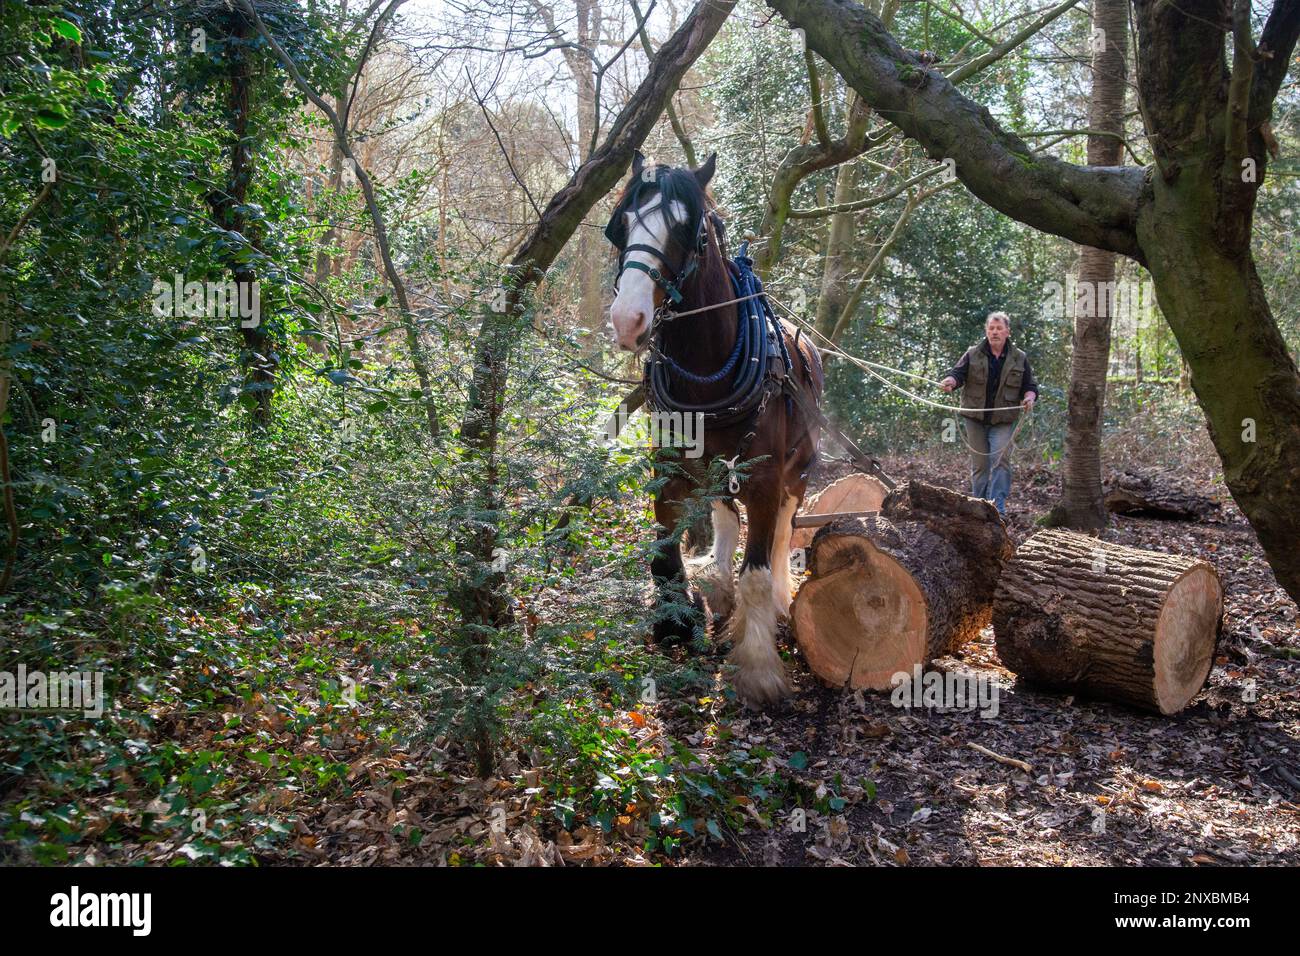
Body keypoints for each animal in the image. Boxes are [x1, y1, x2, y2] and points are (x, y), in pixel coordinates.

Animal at [604, 150, 824, 707]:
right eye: (618, 227)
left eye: (691, 231)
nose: (627, 320)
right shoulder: (669, 471)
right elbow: (664, 553)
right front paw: (676, 623)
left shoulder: (764, 480)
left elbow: (759, 570)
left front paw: (758, 668)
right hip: (717, 471)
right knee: (725, 518)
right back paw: (720, 588)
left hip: (797, 471)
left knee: (784, 527)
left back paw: (778, 599)